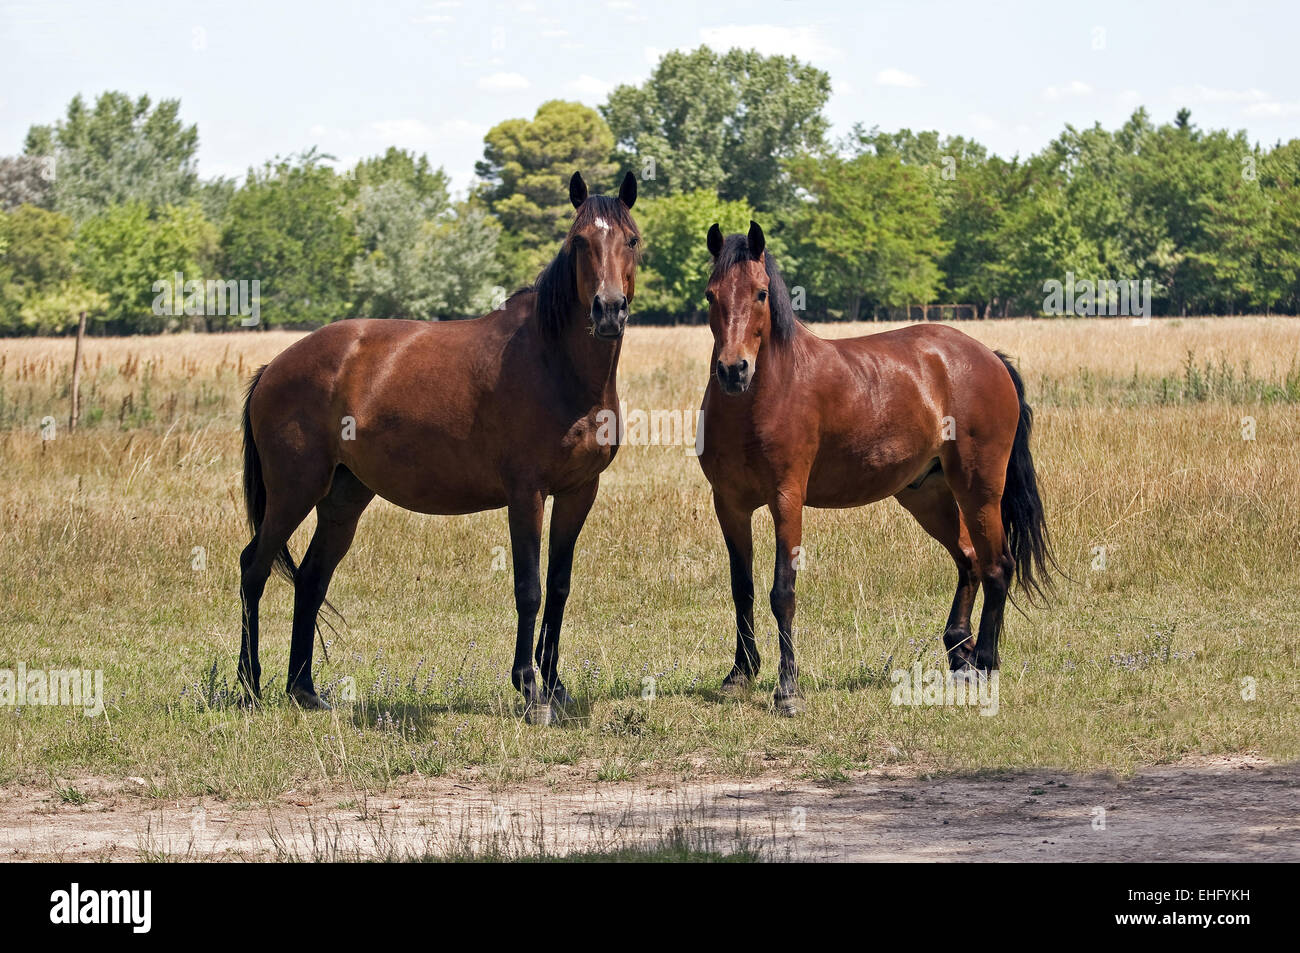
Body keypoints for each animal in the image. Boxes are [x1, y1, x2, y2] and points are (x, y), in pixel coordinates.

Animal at [237, 171, 640, 724]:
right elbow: (529, 588)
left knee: (312, 580)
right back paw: (249, 688)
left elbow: (558, 588)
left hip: (343, 498)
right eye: (579, 242)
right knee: (253, 568)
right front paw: (530, 690)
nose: (608, 311)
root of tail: (274, 367)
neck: (553, 362)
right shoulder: (526, 495)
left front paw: (556, 687)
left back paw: (305, 691)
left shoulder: (580, 491)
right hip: (293, 492)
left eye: (632, 240)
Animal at [696, 221, 1055, 716]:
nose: (734, 370)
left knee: (997, 566)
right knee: (968, 561)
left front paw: (787, 690)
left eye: (761, 294)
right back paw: (959, 655)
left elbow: (782, 591)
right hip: (927, 496)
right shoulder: (729, 505)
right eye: (711, 294)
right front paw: (739, 674)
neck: (763, 395)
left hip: (979, 489)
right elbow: (742, 588)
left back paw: (984, 663)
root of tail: (989, 357)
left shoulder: (787, 500)